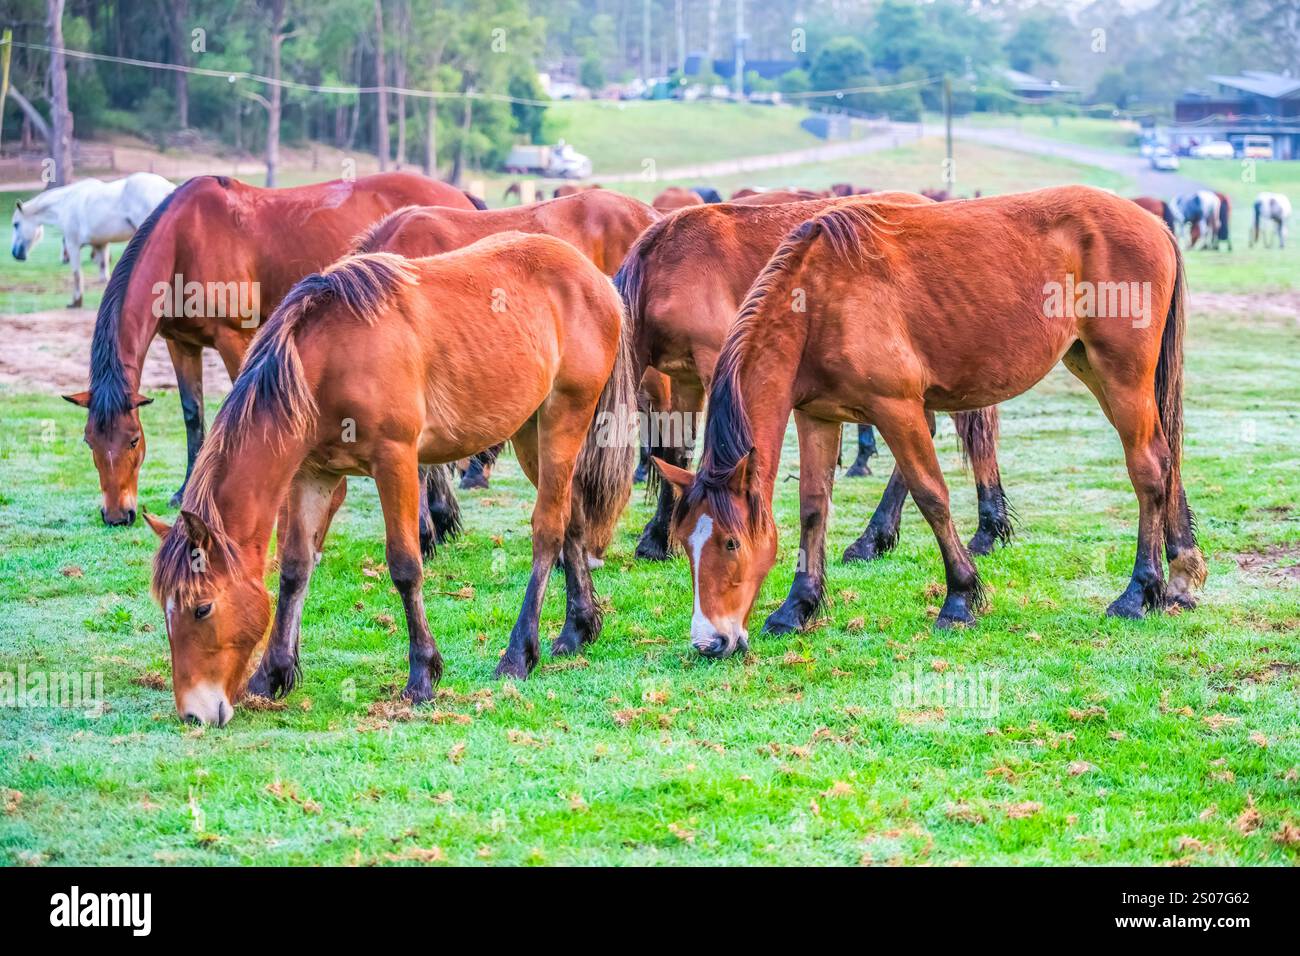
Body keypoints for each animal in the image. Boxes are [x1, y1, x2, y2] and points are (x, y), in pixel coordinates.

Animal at [11, 173, 175, 307]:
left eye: (16, 224)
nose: (15, 253)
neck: (66, 202)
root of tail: (167, 187)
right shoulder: (100, 244)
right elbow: (104, 275)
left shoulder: (73, 245)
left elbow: (77, 274)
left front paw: (76, 302)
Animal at [64, 173, 478, 526]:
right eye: (89, 441)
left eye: (133, 439)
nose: (117, 515)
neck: (186, 239)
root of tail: (461, 197)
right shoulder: (180, 344)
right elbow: (192, 415)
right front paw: (184, 490)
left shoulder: (236, 338)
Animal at [145, 235, 636, 725]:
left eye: (202, 607)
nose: (194, 714)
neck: (325, 360)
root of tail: (595, 279)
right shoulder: (312, 473)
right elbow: (295, 567)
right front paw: (273, 674)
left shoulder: (395, 461)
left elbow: (404, 565)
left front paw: (422, 676)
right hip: (530, 432)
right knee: (572, 518)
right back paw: (577, 629)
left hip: (563, 421)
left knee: (547, 531)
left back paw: (518, 655)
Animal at [615, 192, 1013, 578]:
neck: (663, 267)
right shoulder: (684, 377)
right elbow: (675, 453)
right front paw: (658, 538)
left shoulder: (720, 366)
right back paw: (879, 538)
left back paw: (979, 531)